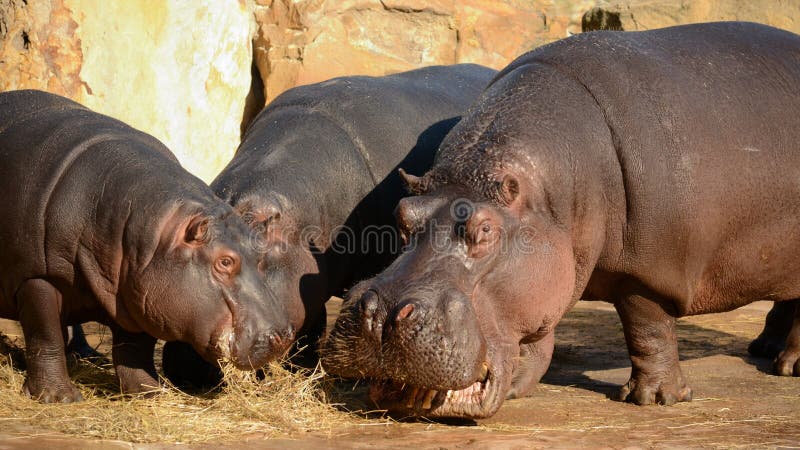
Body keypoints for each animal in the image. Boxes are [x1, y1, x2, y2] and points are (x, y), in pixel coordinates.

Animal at [0, 90, 287, 402]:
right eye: (224, 262)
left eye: (259, 255)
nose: (283, 335)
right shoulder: (35, 277)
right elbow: (46, 335)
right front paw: (59, 398)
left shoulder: (139, 292)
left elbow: (135, 349)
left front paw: (150, 392)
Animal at [322, 21, 800, 418]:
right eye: (402, 216)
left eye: (484, 229)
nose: (378, 313)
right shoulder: (547, 277)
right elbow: (536, 336)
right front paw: (520, 387)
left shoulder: (645, 273)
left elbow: (647, 328)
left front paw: (654, 400)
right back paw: (766, 349)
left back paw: (788, 368)